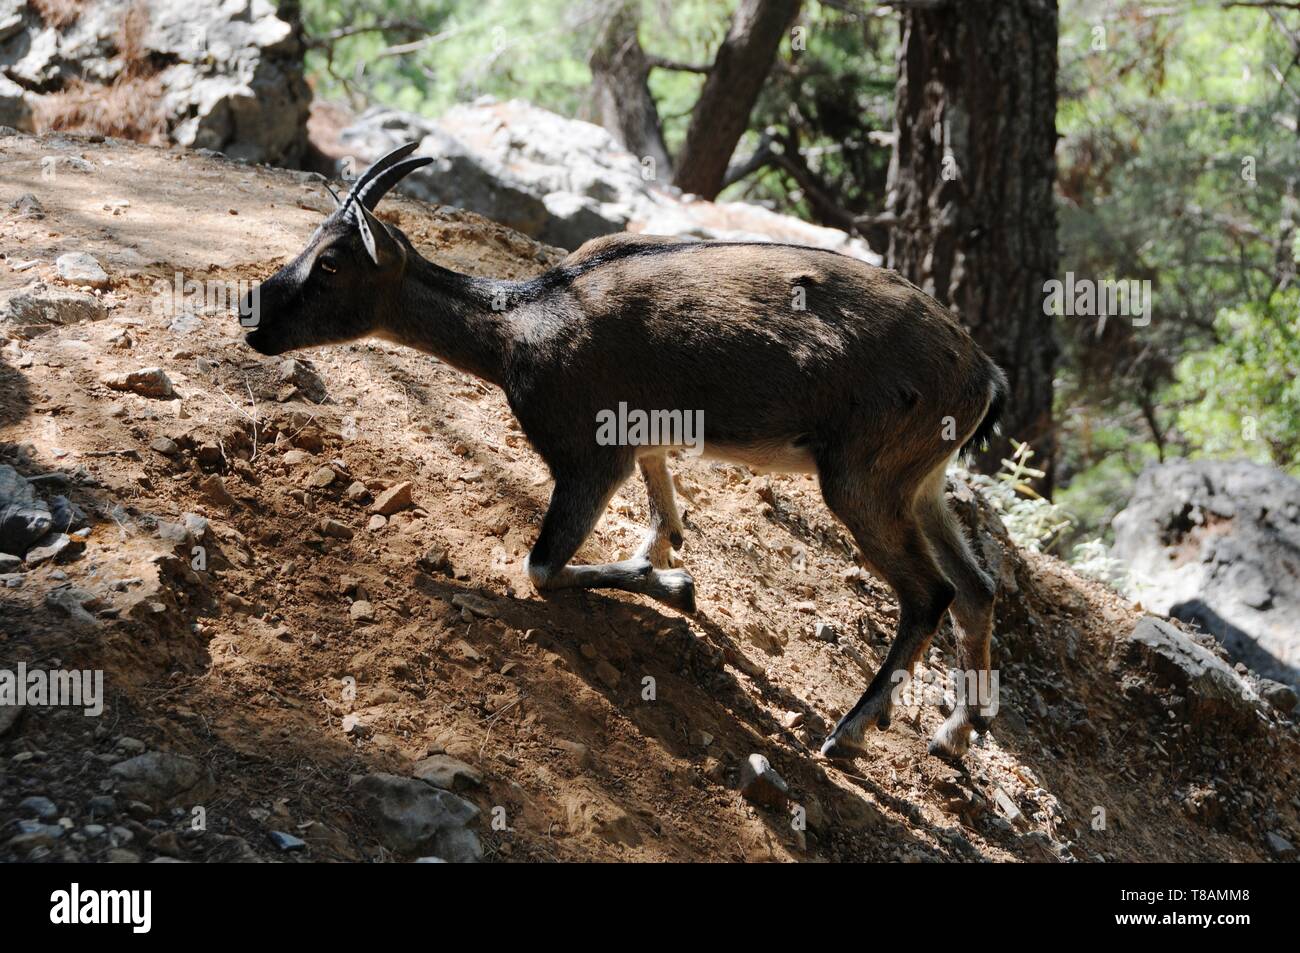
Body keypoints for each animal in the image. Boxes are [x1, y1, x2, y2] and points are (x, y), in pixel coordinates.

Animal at [240, 144, 1009, 760]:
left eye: (331, 262)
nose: (255, 318)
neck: (519, 327)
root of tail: (983, 376)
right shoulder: (642, 437)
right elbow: (662, 501)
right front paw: (664, 552)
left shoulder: (583, 451)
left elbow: (543, 567)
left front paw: (673, 584)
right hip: (920, 481)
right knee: (977, 588)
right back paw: (954, 733)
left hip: (861, 478)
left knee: (930, 593)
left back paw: (848, 733)